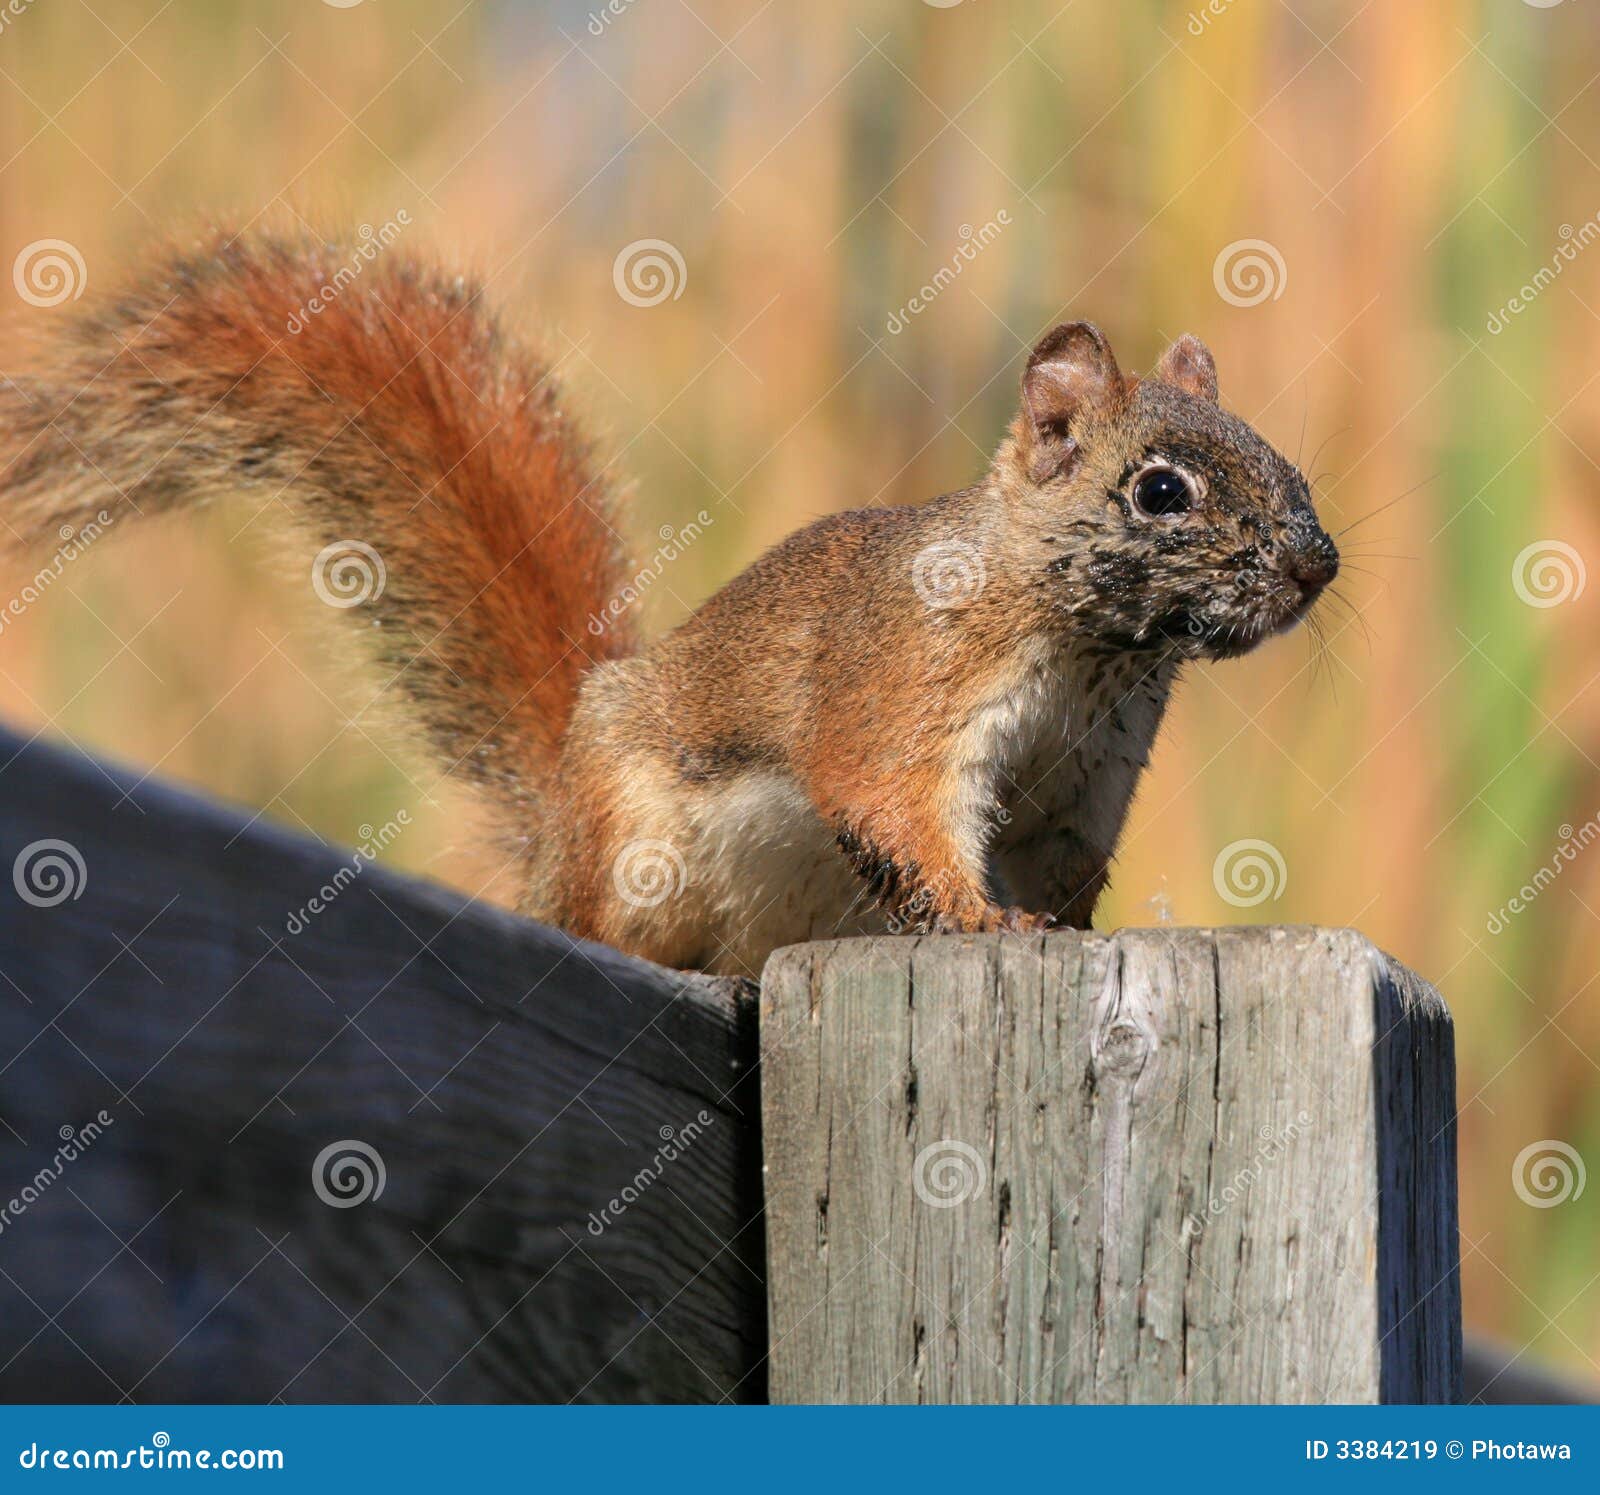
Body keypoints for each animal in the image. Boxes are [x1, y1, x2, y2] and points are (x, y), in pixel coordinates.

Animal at [0, 230, 1338, 977]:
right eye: (1159, 490)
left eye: (1290, 464)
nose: (1315, 566)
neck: (1089, 650)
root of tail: (554, 820)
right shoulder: (903, 689)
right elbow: (892, 804)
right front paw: (982, 922)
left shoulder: (1082, 785)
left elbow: (1060, 867)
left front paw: (1064, 934)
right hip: (632, 852)